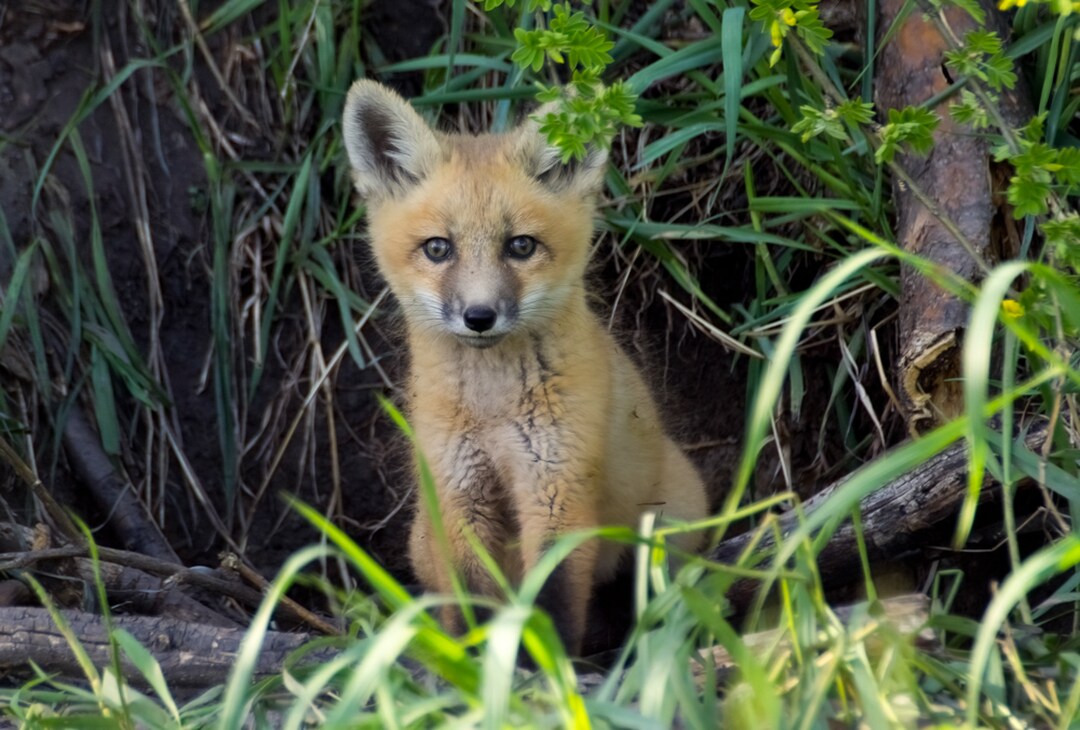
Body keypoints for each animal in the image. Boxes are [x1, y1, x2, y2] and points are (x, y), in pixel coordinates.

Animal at [341, 79, 709, 655]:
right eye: (438, 248)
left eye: (520, 246)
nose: (479, 316)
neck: (493, 412)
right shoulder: (458, 490)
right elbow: (471, 598)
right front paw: (472, 663)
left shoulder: (556, 486)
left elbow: (553, 596)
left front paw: (546, 667)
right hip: (424, 534)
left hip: (666, 522)